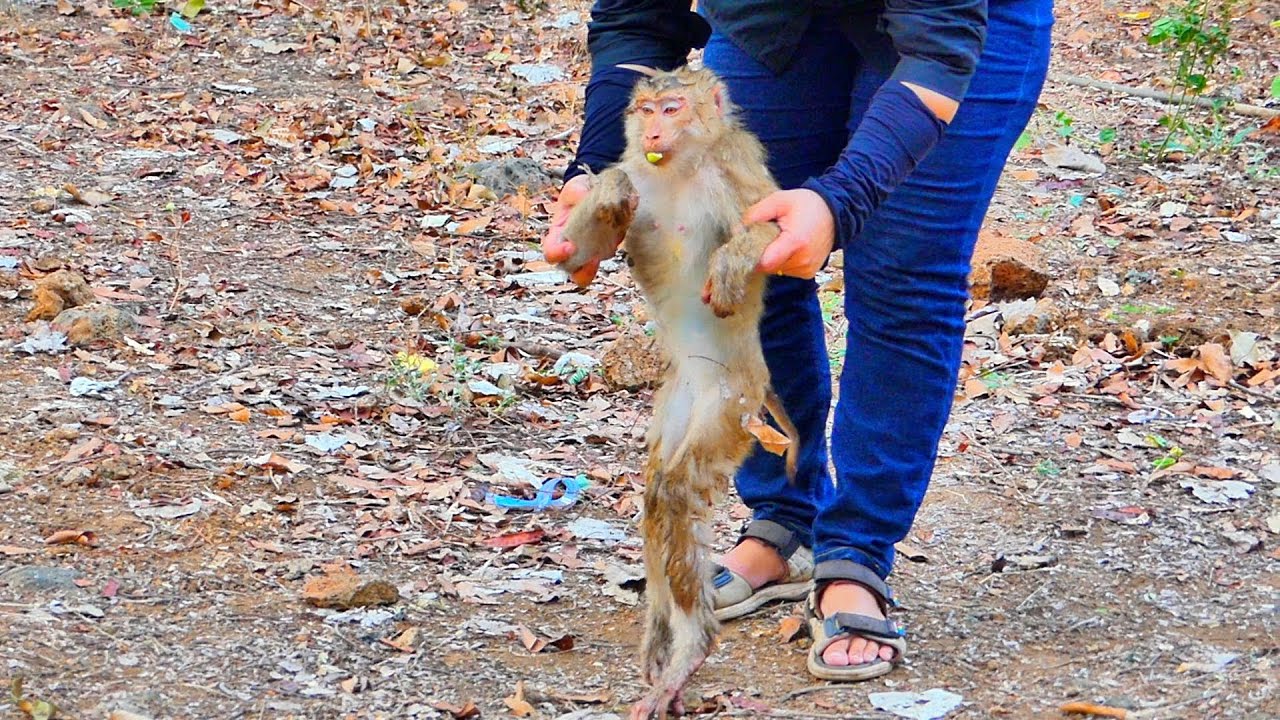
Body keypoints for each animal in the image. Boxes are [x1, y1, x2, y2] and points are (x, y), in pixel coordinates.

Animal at [554, 64, 801, 719]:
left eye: (673, 107)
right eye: (645, 110)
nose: (653, 131)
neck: (680, 166)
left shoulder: (737, 162)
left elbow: (775, 228)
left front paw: (734, 263)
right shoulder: (635, 172)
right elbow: (578, 254)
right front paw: (608, 189)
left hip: (731, 405)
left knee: (678, 488)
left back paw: (691, 646)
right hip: (678, 404)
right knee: (656, 488)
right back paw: (663, 638)